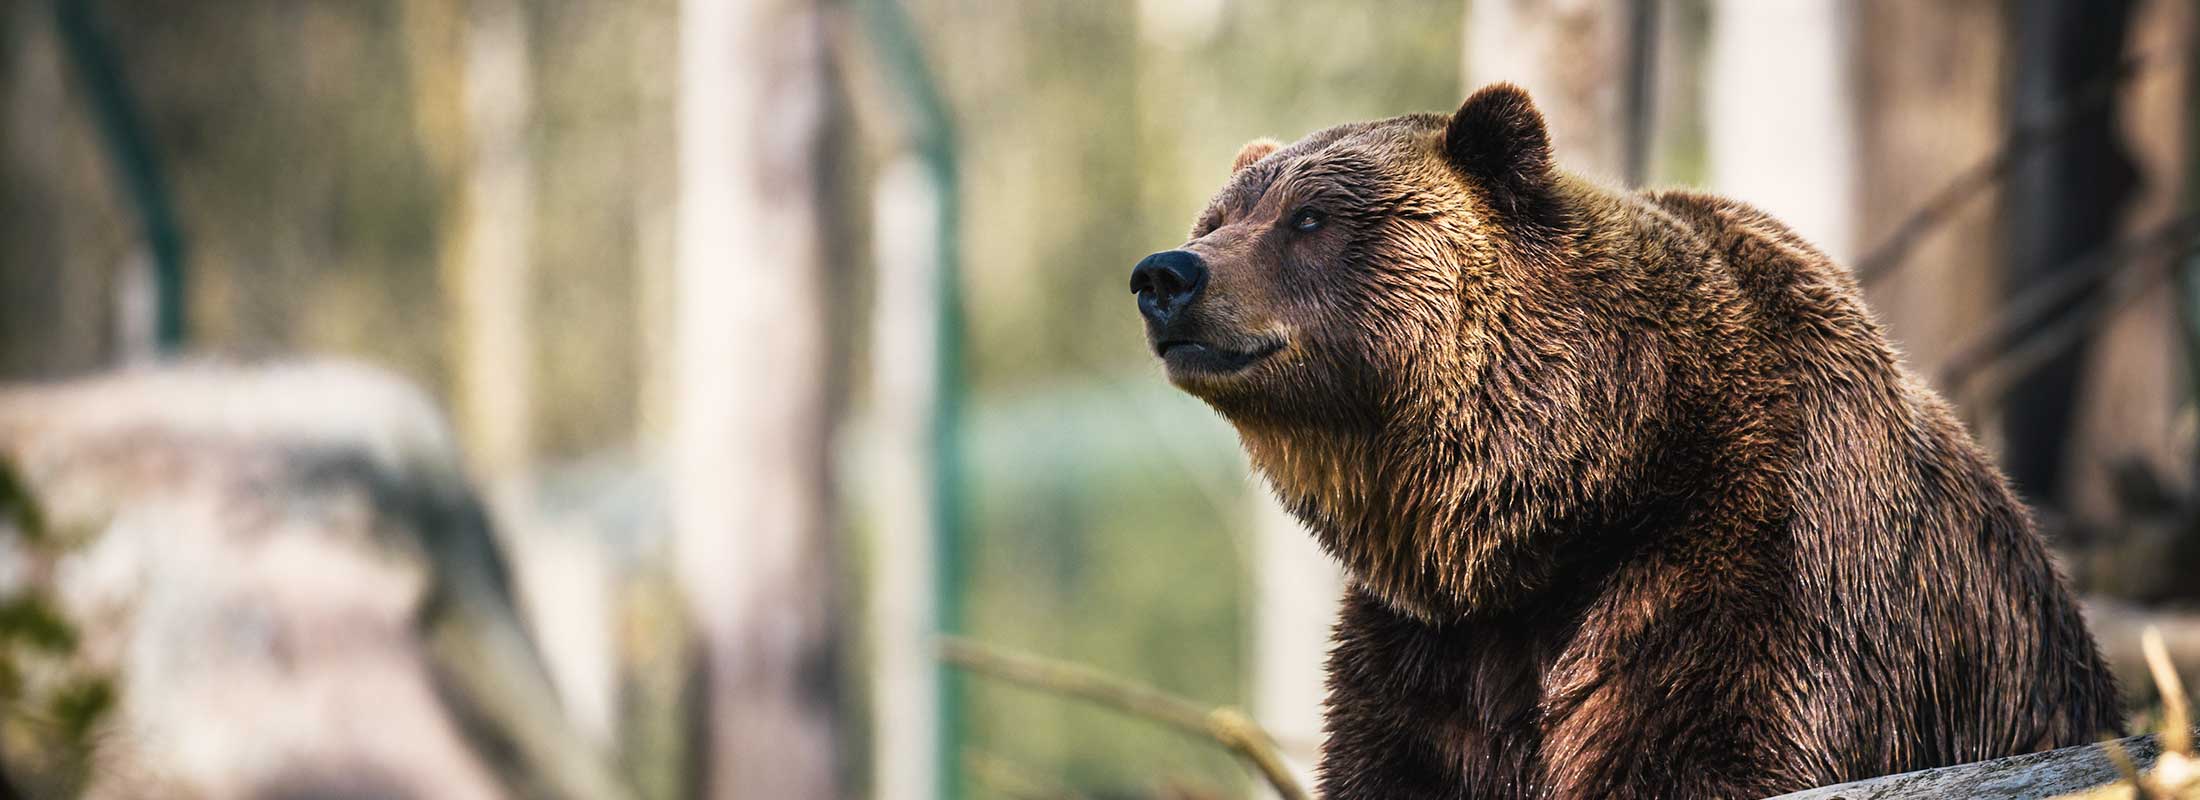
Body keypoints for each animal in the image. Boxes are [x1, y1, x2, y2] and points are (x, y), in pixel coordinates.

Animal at [1128, 83, 2121, 799]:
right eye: (1217, 219)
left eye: (1310, 219)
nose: (1167, 274)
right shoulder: (1432, 647)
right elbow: (1398, 758)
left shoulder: (1754, 563)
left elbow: (1699, 748)